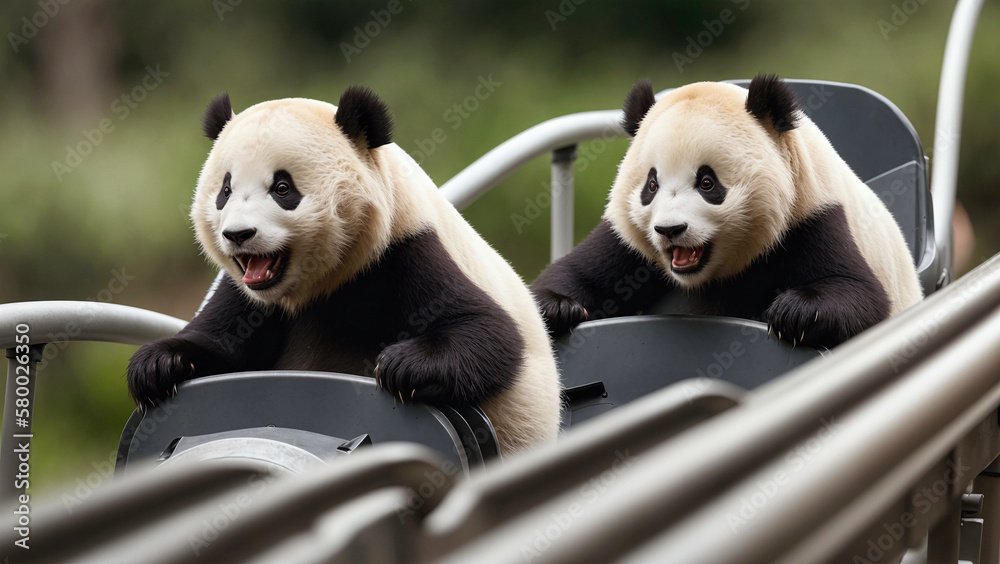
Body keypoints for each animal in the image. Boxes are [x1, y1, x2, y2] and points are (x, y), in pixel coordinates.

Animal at [126, 87, 561, 455]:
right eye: (225, 191)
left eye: (282, 188)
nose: (238, 234)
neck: (326, 280)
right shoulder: (251, 297)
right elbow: (222, 342)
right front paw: (157, 366)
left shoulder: (405, 251)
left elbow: (488, 331)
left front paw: (402, 367)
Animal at [532, 74, 923, 349]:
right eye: (651, 186)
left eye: (707, 182)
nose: (670, 230)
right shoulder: (629, 245)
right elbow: (580, 273)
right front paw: (557, 308)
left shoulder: (812, 215)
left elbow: (860, 294)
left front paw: (793, 314)